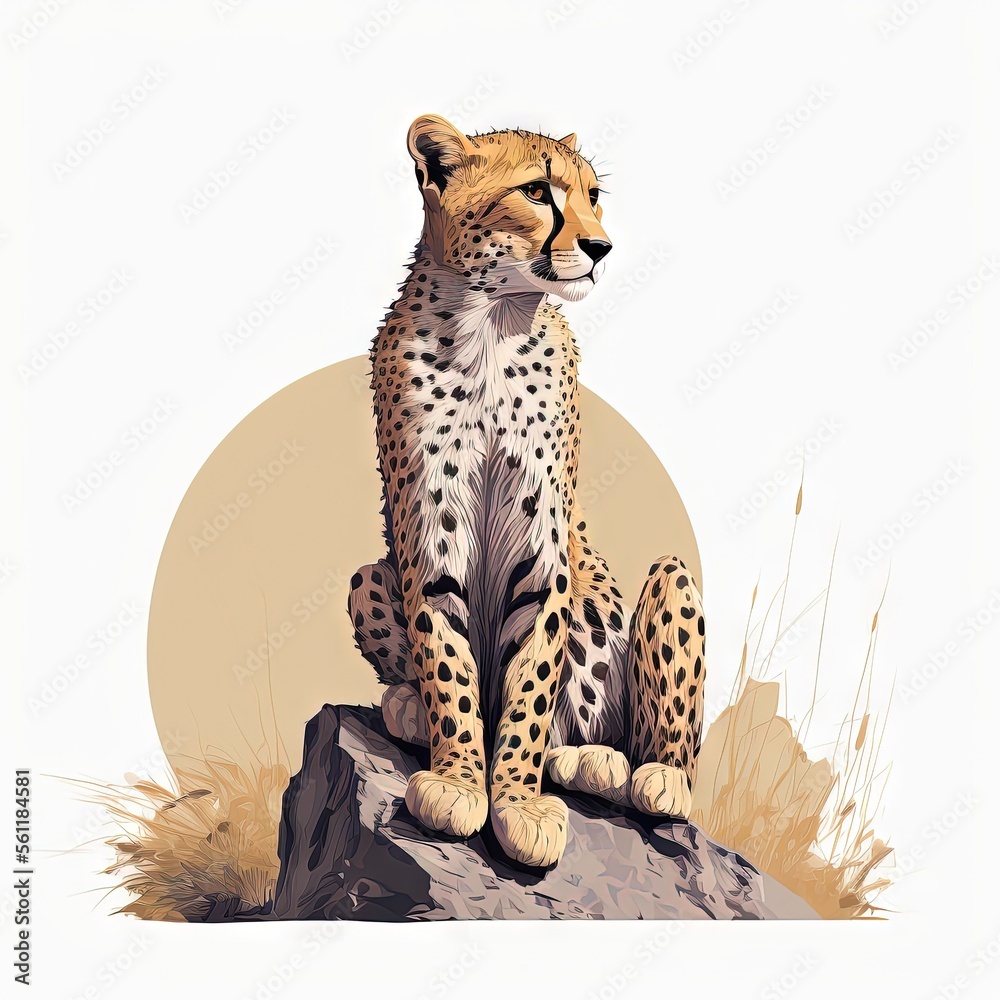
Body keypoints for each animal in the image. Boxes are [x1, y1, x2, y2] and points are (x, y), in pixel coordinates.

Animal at [348, 114, 705, 868]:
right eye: (538, 192)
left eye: (594, 196)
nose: (601, 247)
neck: (494, 321)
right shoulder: (430, 533)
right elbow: (446, 662)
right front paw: (460, 780)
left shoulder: (544, 547)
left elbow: (534, 677)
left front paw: (517, 799)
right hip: (370, 573)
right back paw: (408, 709)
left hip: (664, 587)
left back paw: (639, 770)